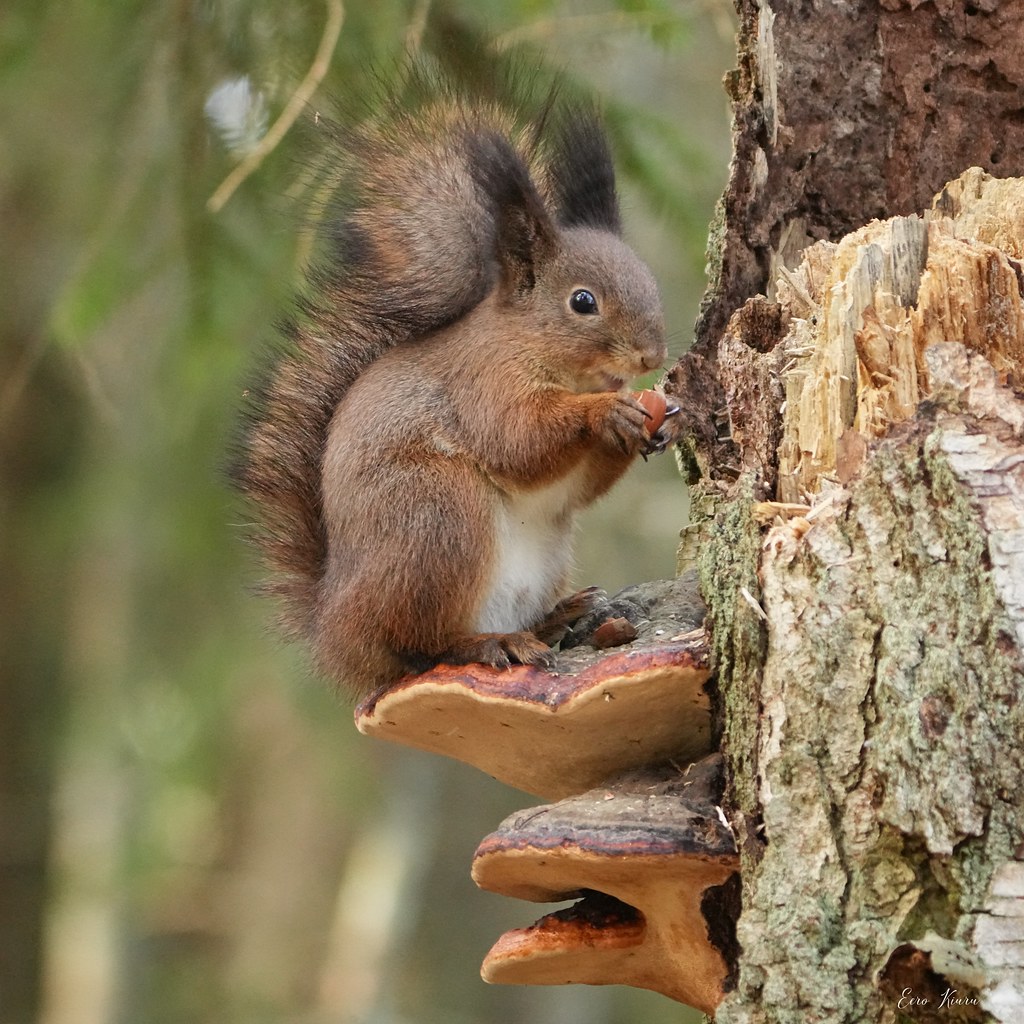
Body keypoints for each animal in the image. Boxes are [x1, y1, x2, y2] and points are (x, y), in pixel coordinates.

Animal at [235, 73, 675, 699]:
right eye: (583, 301)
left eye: (648, 280)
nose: (651, 355)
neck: (531, 345)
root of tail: (335, 629)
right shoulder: (482, 384)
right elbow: (518, 441)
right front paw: (605, 414)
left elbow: (576, 486)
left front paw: (658, 425)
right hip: (438, 520)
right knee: (420, 645)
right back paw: (490, 643)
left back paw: (554, 618)